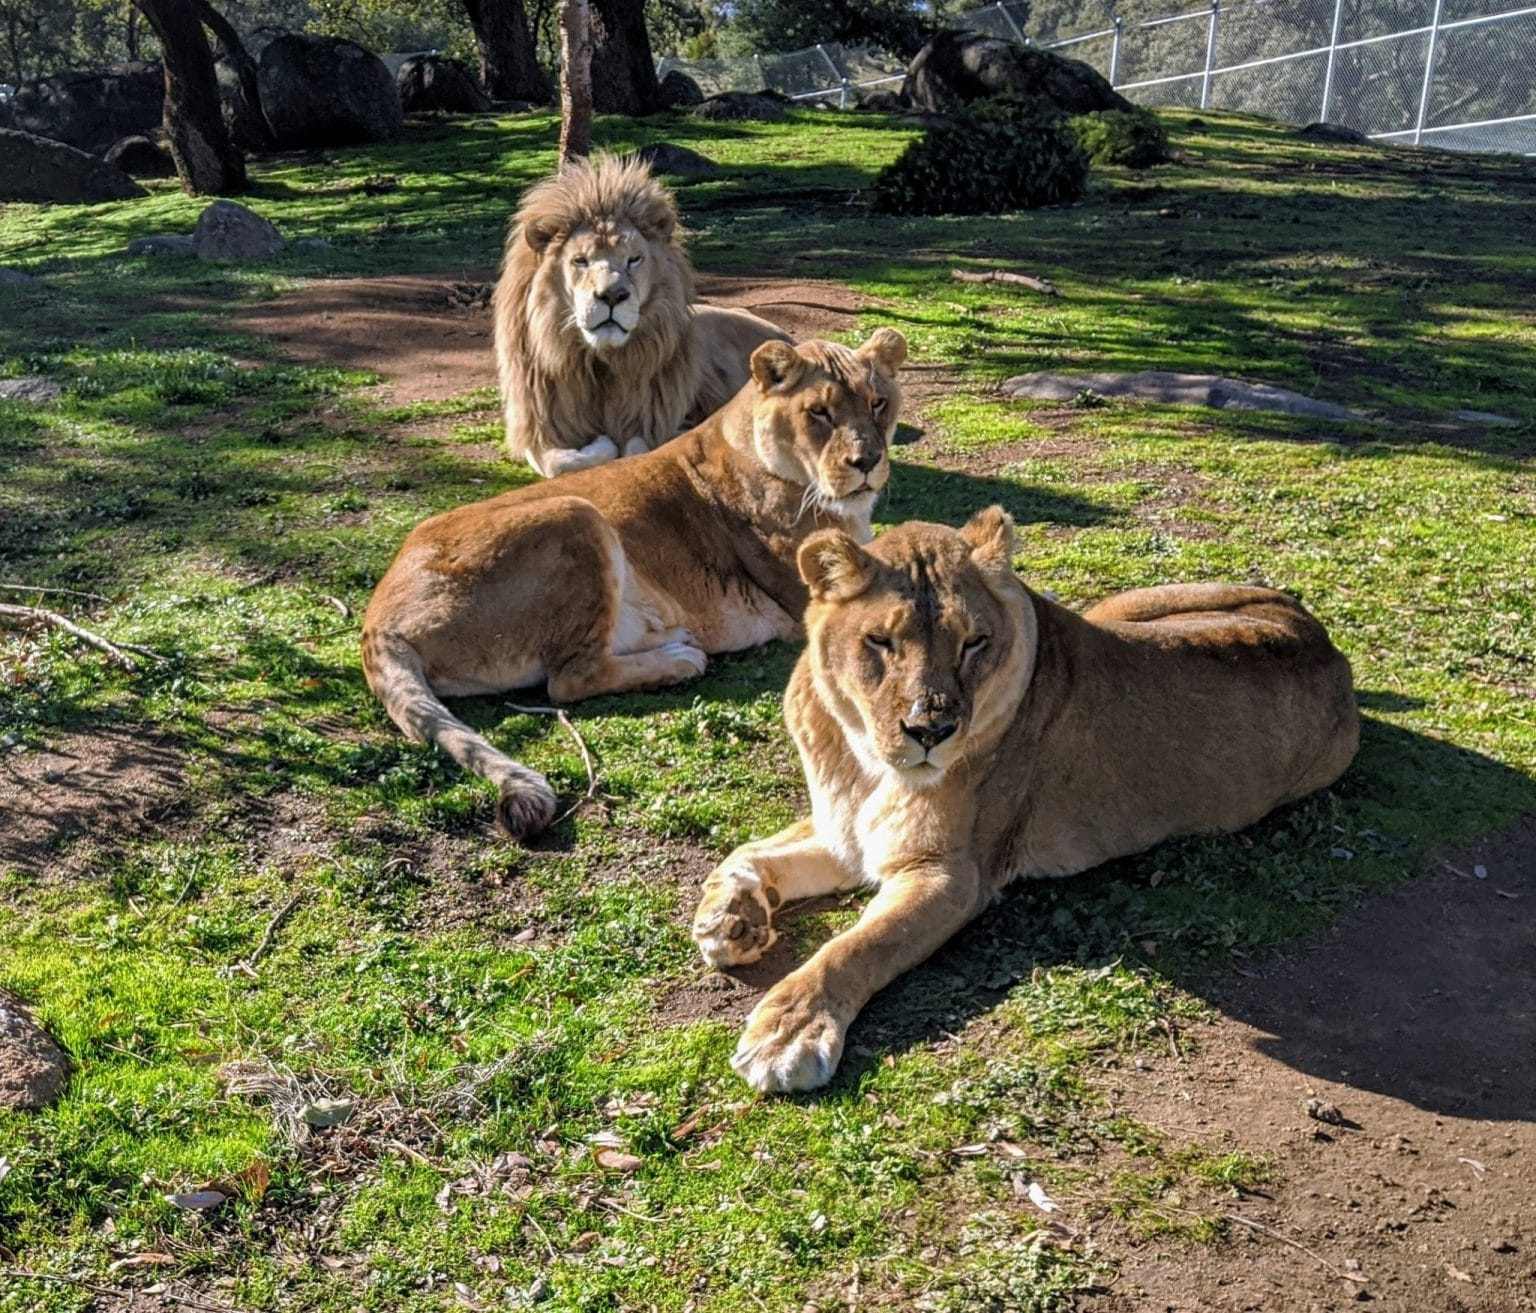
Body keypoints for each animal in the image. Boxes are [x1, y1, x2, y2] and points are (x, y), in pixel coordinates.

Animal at [362, 330, 907, 840]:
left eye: (877, 403)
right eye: (819, 412)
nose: (867, 461)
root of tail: (377, 621)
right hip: (576, 515)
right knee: (570, 680)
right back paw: (680, 659)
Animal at [493, 154, 793, 478]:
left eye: (633, 259)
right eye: (580, 260)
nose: (613, 295)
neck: (599, 365)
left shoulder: (651, 418)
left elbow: (637, 449)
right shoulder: (538, 428)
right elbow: (556, 462)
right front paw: (602, 443)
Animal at [691, 509, 1360, 1092]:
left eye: (973, 643)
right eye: (880, 642)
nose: (931, 731)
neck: (863, 759)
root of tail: (1327, 644)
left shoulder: (951, 875)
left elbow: (855, 947)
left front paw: (789, 1033)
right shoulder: (845, 830)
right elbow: (746, 851)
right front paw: (730, 917)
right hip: (1123, 607)